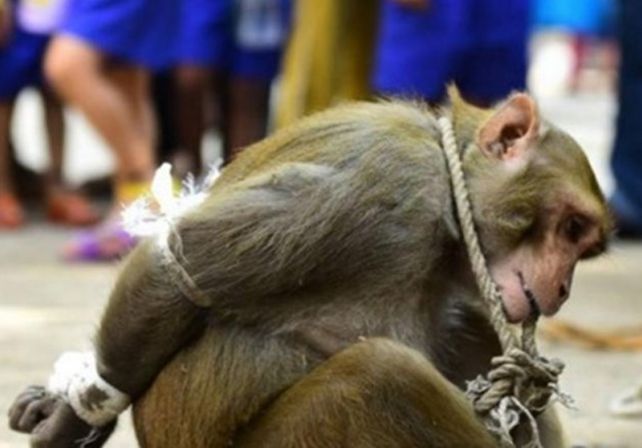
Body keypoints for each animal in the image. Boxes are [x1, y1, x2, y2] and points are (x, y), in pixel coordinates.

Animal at [8, 87, 610, 447]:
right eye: (572, 227)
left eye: (583, 247)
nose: (562, 287)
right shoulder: (385, 185)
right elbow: (173, 266)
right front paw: (74, 418)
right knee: (381, 374)